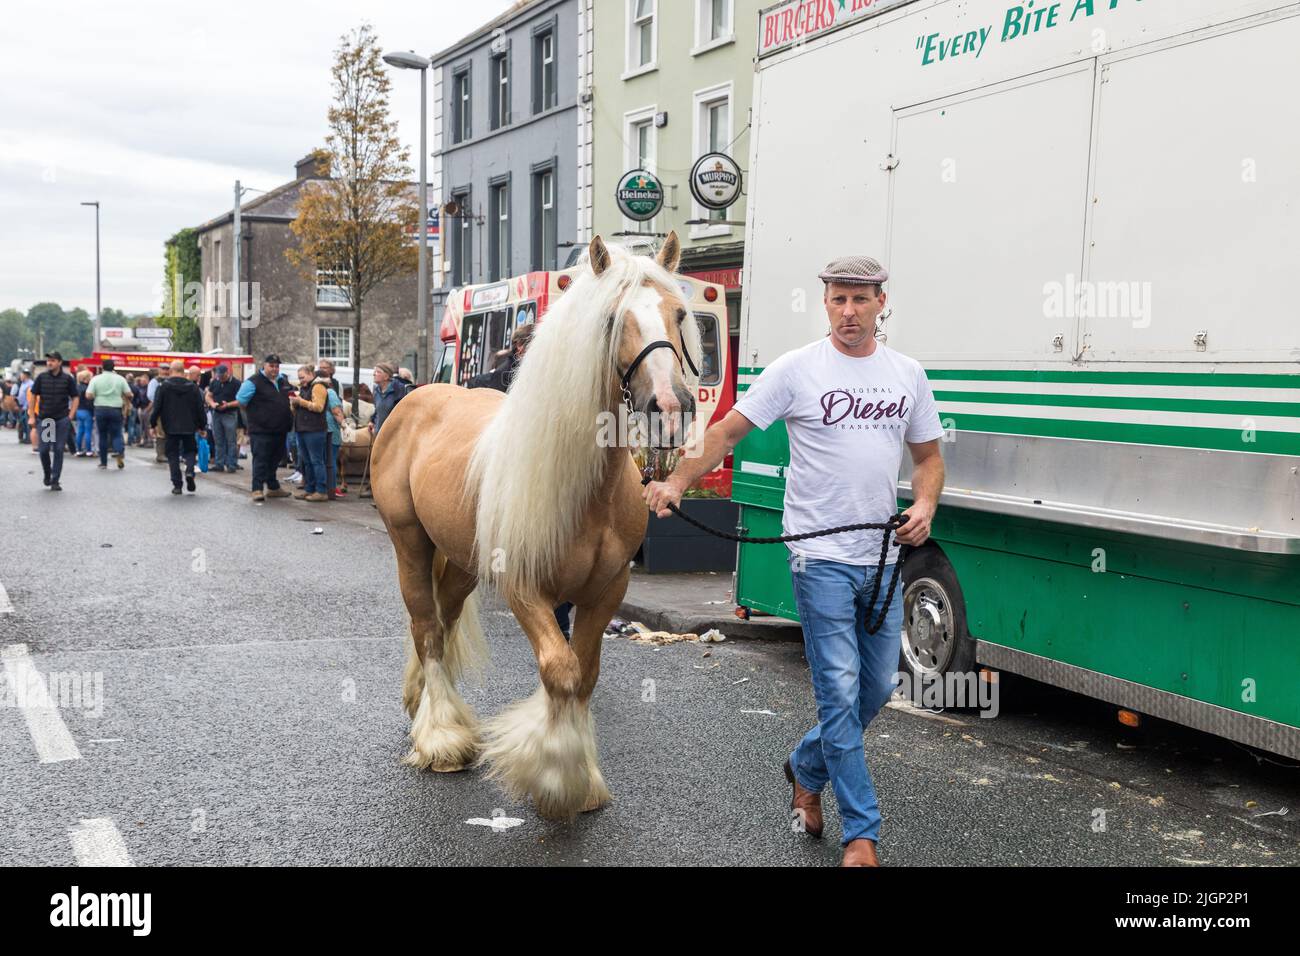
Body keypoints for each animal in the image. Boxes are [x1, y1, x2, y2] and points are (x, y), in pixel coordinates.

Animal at [371, 231, 701, 819]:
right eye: (611, 319)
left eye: (679, 313)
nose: (668, 406)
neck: (589, 493)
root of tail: (419, 395)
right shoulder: (525, 589)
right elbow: (560, 671)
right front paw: (554, 776)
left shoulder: (608, 590)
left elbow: (583, 673)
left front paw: (580, 780)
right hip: (409, 543)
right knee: (426, 627)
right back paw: (441, 738)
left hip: (462, 563)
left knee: (443, 620)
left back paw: (431, 709)